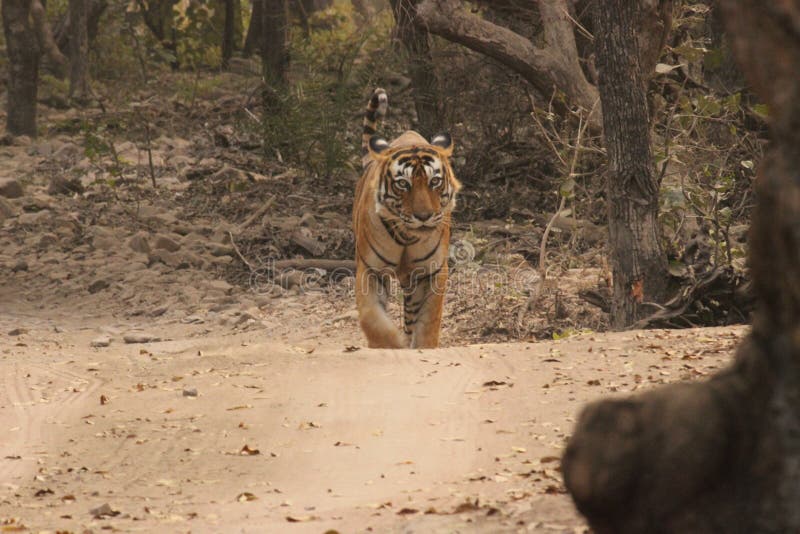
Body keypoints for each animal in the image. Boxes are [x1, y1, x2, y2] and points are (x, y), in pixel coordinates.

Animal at [353, 88, 461, 349]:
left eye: (434, 181)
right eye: (403, 184)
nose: (424, 216)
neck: (406, 238)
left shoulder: (432, 271)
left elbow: (429, 320)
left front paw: (421, 347)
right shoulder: (370, 270)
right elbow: (373, 319)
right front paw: (393, 346)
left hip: (412, 282)